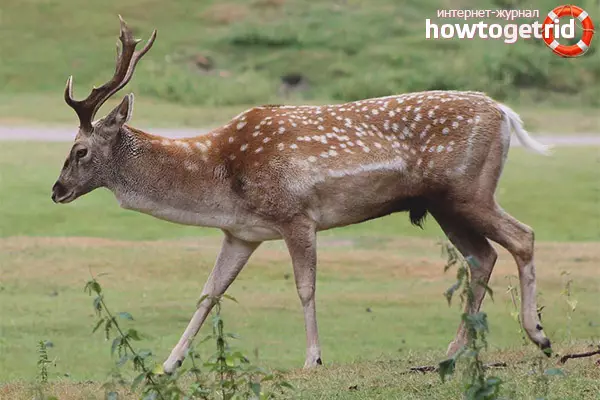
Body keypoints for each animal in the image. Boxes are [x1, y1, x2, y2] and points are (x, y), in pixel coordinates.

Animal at [52, 16, 552, 372]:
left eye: (79, 151)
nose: (56, 190)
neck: (219, 182)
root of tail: (504, 112)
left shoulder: (296, 215)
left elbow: (305, 288)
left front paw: (313, 358)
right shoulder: (241, 232)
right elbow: (209, 292)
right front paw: (170, 362)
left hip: (468, 190)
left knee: (522, 236)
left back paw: (539, 334)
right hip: (444, 204)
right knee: (482, 257)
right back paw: (453, 352)